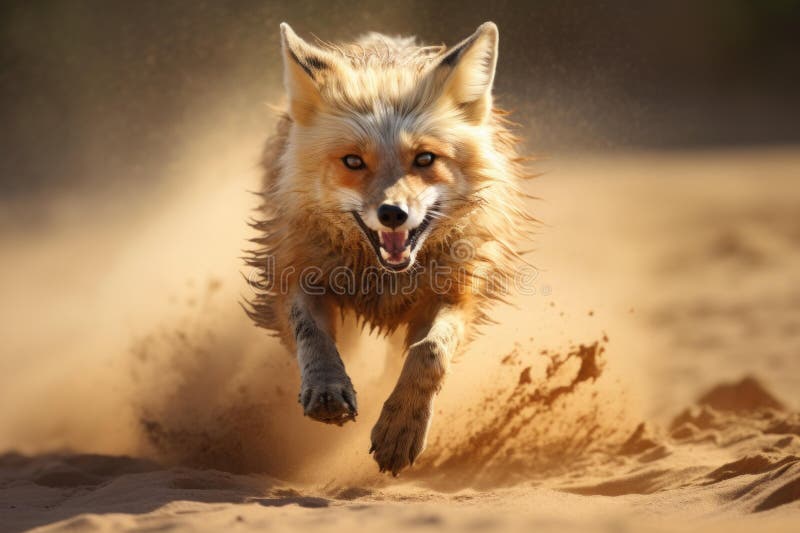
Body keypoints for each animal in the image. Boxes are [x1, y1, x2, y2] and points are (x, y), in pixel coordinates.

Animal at [245, 21, 531, 476]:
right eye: (353, 162)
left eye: (425, 159)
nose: (393, 213)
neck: (383, 279)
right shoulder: (296, 275)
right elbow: (312, 336)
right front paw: (327, 389)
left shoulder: (456, 295)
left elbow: (429, 354)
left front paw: (401, 429)